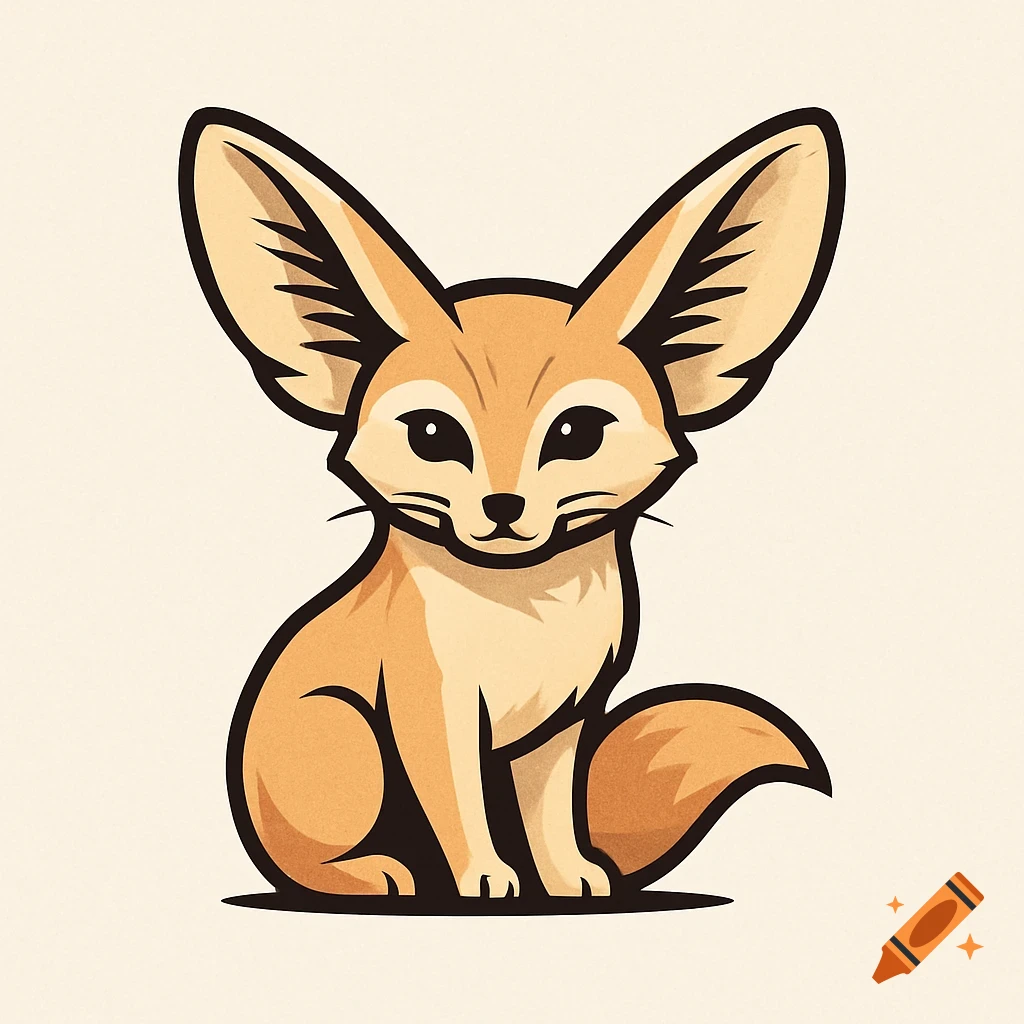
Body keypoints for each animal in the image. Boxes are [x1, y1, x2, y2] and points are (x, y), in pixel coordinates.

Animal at [179, 106, 843, 905]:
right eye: (432, 435)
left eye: (578, 433)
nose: (503, 505)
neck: (525, 617)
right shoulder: (432, 711)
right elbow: (462, 806)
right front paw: (484, 879)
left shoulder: (565, 720)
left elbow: (550, 815)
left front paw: (570, 878)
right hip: (342, 732)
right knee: (304, 861)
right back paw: (376, 874)